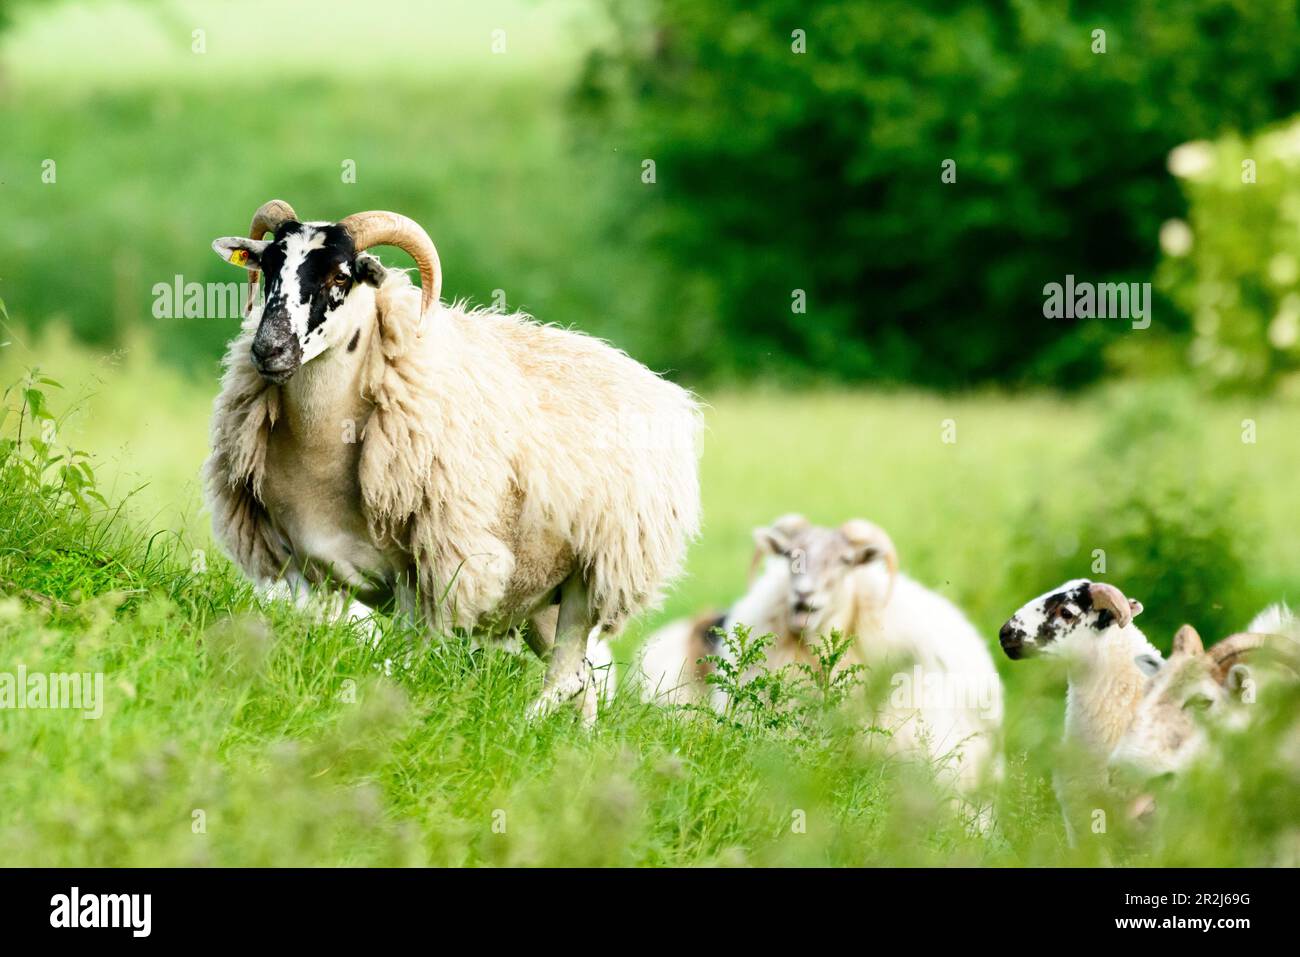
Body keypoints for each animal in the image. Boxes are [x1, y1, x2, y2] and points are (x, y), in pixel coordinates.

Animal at [205, 200, 702, 719]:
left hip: (595, 575)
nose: (269, 349)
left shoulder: (419, 576)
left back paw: (520, 726)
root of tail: (659, 388)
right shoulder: (305, 569)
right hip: (542, 600)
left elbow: (394, 665)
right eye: (269, 267)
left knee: (565, 678)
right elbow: (314, 642)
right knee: (583, 683)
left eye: (341, 276)